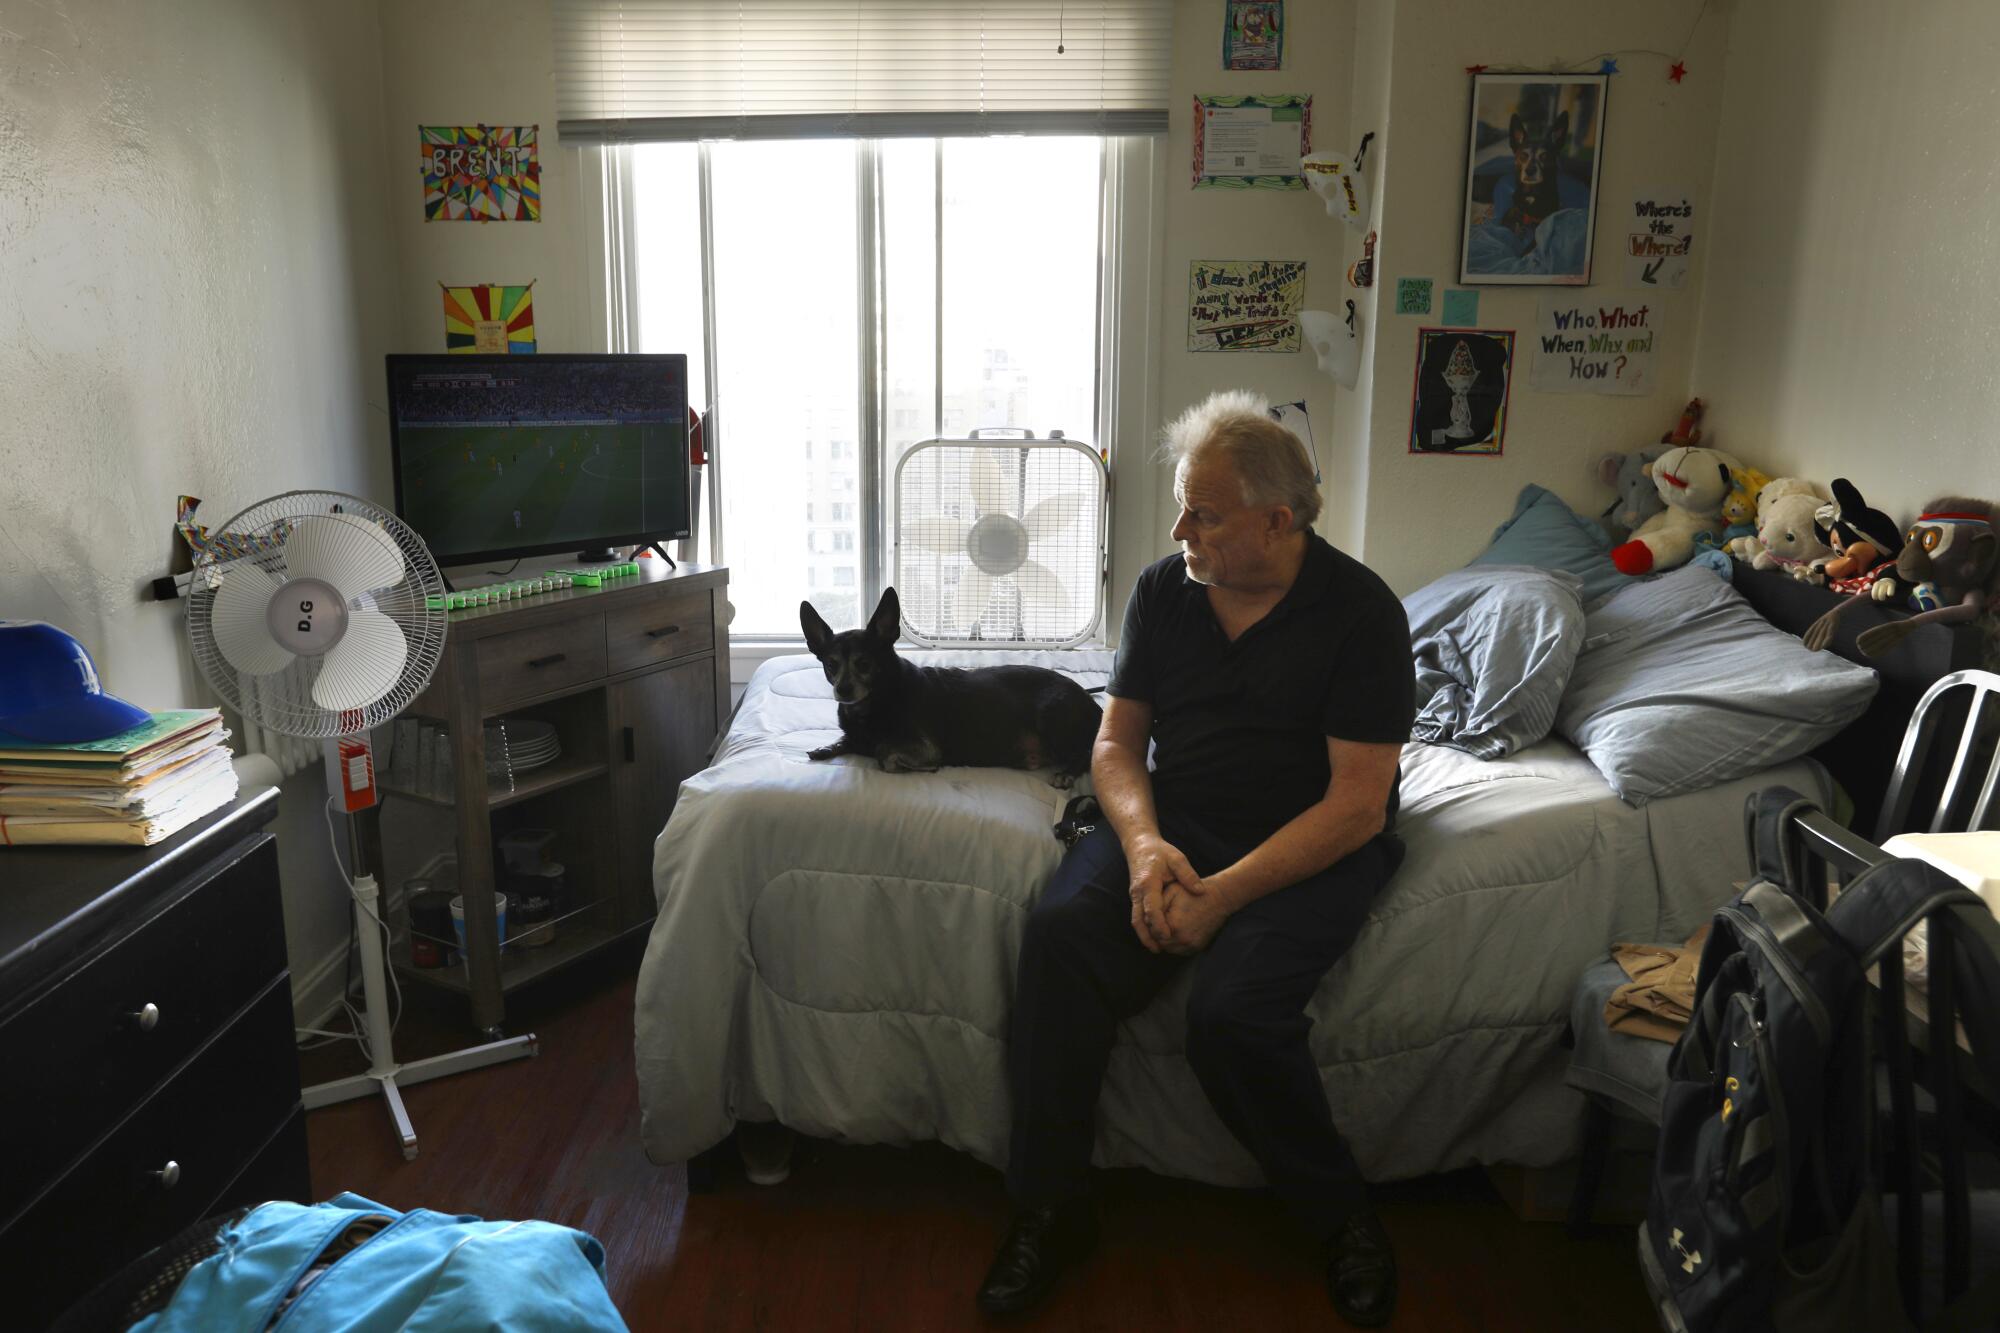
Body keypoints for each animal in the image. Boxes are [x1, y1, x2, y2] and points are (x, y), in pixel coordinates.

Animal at [800, 588, 1112, 784]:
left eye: (864, 663)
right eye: (831, 665)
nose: (843, 690)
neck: (877, 700)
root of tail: (1091, 702)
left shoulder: (925, 747)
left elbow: (883, 752)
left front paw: (916, 766)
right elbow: (848, 740)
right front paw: (827, 747)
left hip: (1051, 711)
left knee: (1089, 753)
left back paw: (1068, 772)